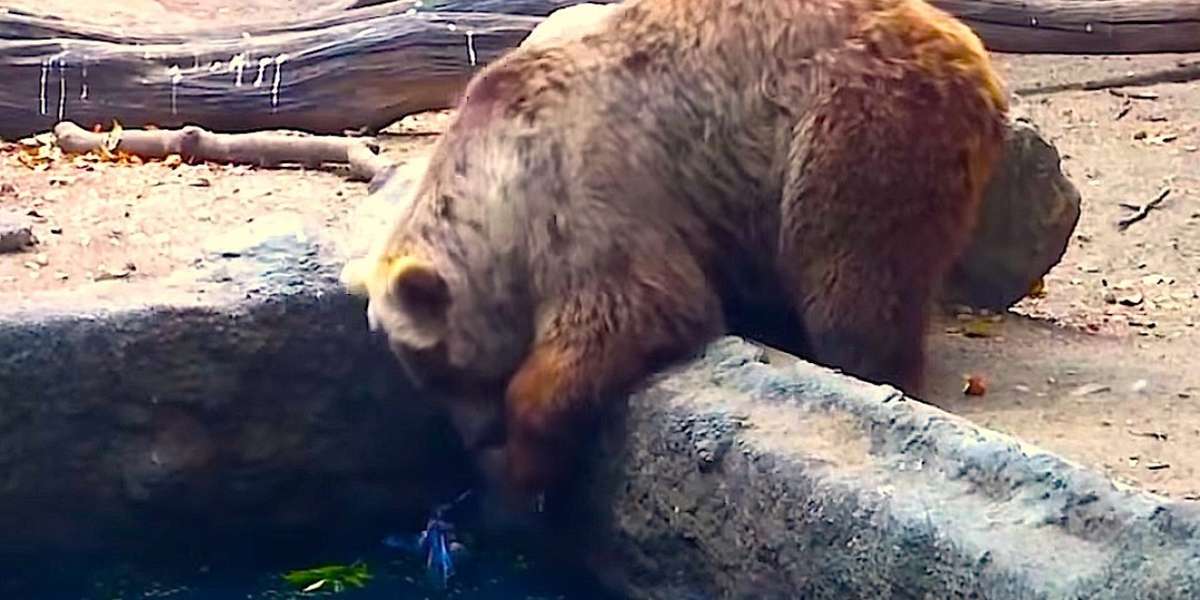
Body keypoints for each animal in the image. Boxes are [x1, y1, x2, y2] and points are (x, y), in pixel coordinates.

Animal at [342, 0, 1009, 510]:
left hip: (854, 129)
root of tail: (968, 48)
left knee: (854, 282)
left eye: (440, 369)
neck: (501, 184)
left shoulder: (590, 187)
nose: (477, 440)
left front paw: (526, 467)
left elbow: (634, 308)